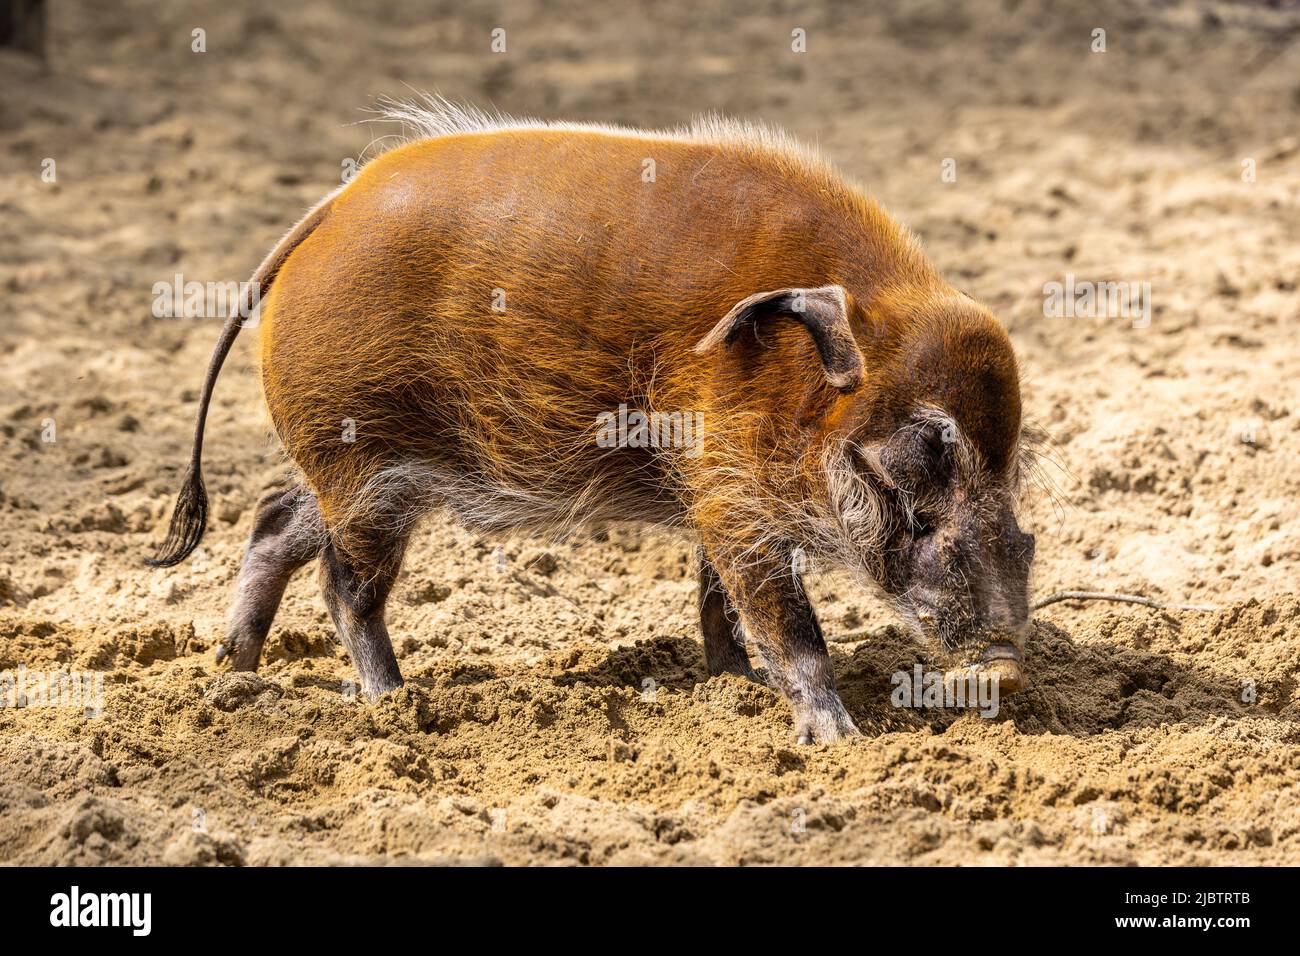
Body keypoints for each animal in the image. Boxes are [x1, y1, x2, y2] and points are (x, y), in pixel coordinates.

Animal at [148, 101, 1036, 743]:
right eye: (922, 452)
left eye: (1009, 464)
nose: (1005, 660)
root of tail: (325, 213)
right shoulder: (732, 495)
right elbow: (784, 620)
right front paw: (841, 742)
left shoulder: (714, 494)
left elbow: (720, 603)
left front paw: (735, 686)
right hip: (365, 466)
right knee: (343, 584)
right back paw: (395, 704)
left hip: (347, 468)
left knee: (274, 519)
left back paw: (234, 672)